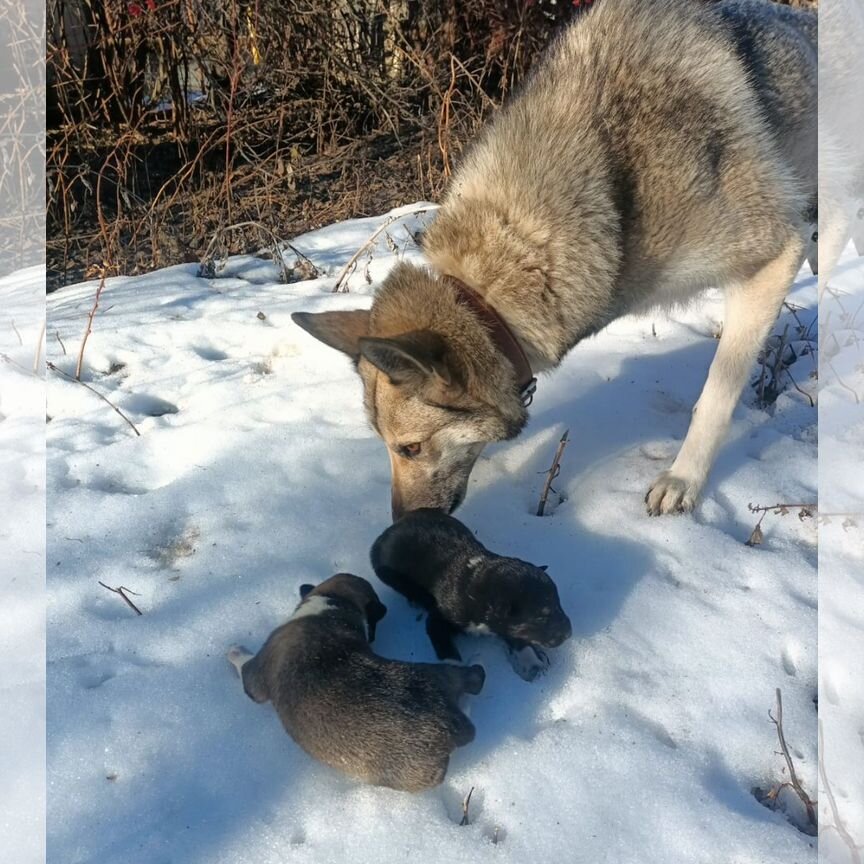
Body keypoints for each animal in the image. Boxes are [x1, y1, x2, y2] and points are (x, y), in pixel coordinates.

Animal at [226, 572, 482, 792]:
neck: (335, 604)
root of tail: (451, 723)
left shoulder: (255, 677)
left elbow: (245, 669)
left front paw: (234, 650)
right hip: (442, 674)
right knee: (474, 677)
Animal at [290, 0, 816, 516]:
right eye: (387, 446)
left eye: (410, 448)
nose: (401, 524)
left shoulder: (775, 254)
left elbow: (717, 394)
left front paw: (682, 480)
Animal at [368, 506, 572, 680]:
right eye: (540, 617)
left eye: (559, 604)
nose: (569, 634)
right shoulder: (437, 620)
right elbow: (448, 651)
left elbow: (519, 638)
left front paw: (531, 662)